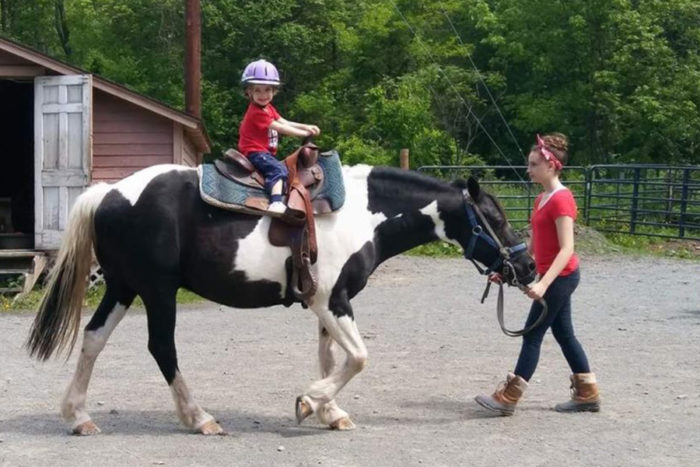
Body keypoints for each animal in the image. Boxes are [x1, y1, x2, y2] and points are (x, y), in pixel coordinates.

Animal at [27, 162, 536, 435]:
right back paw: (200, 418)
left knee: (93, 339)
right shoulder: (332, 300)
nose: (529, 267)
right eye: (495, 218)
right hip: (156, 290)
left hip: (122, 288)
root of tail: (108, 193)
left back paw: (78, 417)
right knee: (161, 348)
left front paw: (330, 411)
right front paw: (310, 402)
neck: (362, 215)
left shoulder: (327, 304)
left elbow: (332, 358)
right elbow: (358, 358)